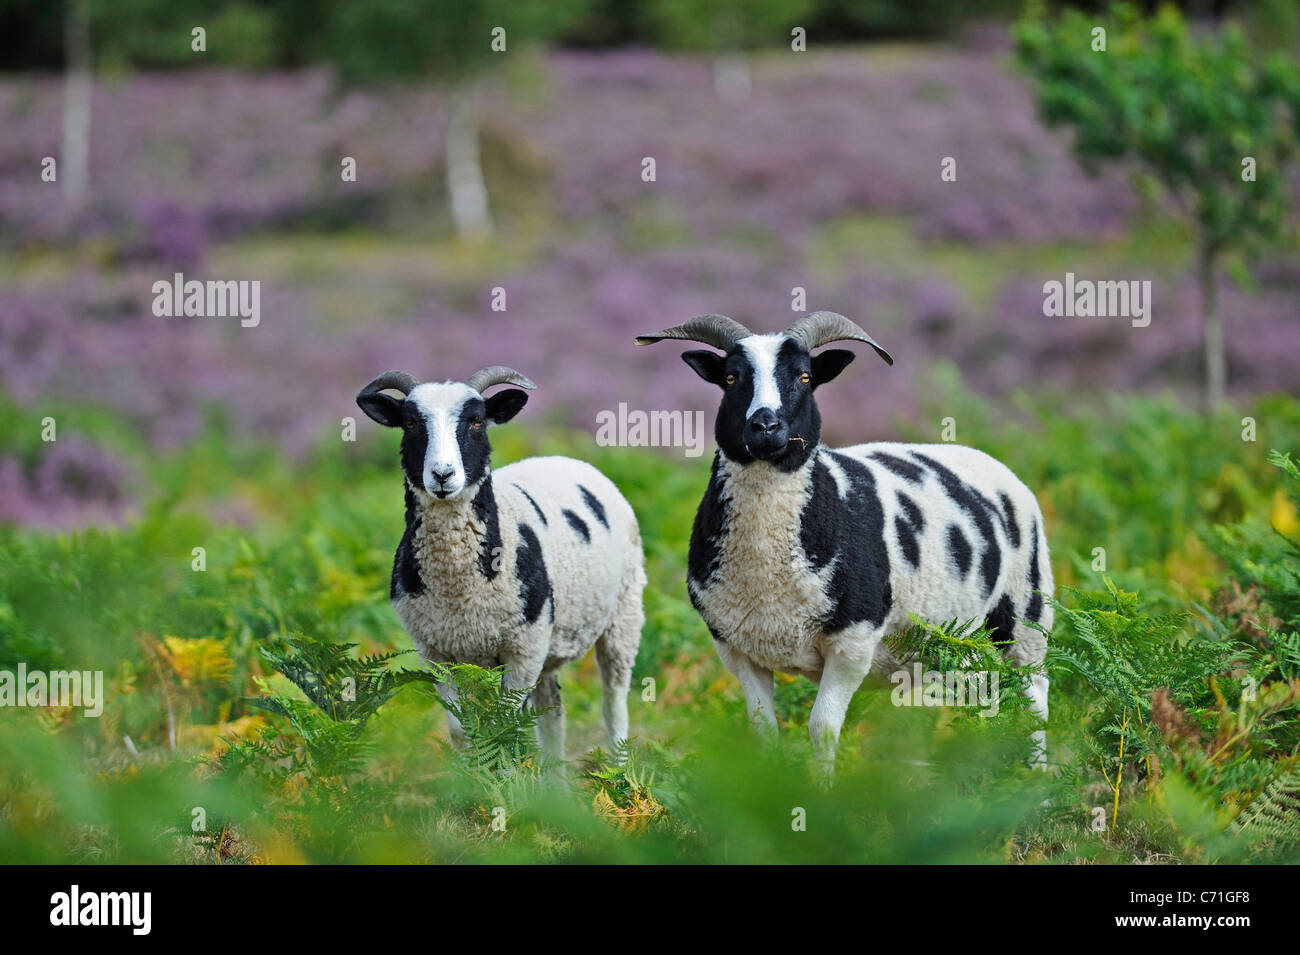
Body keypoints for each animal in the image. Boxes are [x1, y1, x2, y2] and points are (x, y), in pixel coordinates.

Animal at [356, 366, 646, 761]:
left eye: (477, 421)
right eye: (411, 423)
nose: (442, 475)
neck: (458, 589)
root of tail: (562, 458)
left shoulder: (523, 648)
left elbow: (502, 727)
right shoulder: (437, 653)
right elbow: (462, 731)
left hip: (624, 612)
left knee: (613, 704)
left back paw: (618, 768)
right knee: (552, 713)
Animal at [636, 312, 1053, 771]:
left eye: (804, 377)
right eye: (731, 378)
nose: (765, 426)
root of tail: (992, 462)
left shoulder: (852, 643)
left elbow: (822, 729)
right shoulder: (737, 649)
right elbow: (763, 733)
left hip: (1024, 617)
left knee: (1034, 699)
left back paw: (1038, 779)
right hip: (956, 646)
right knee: (983, 697)